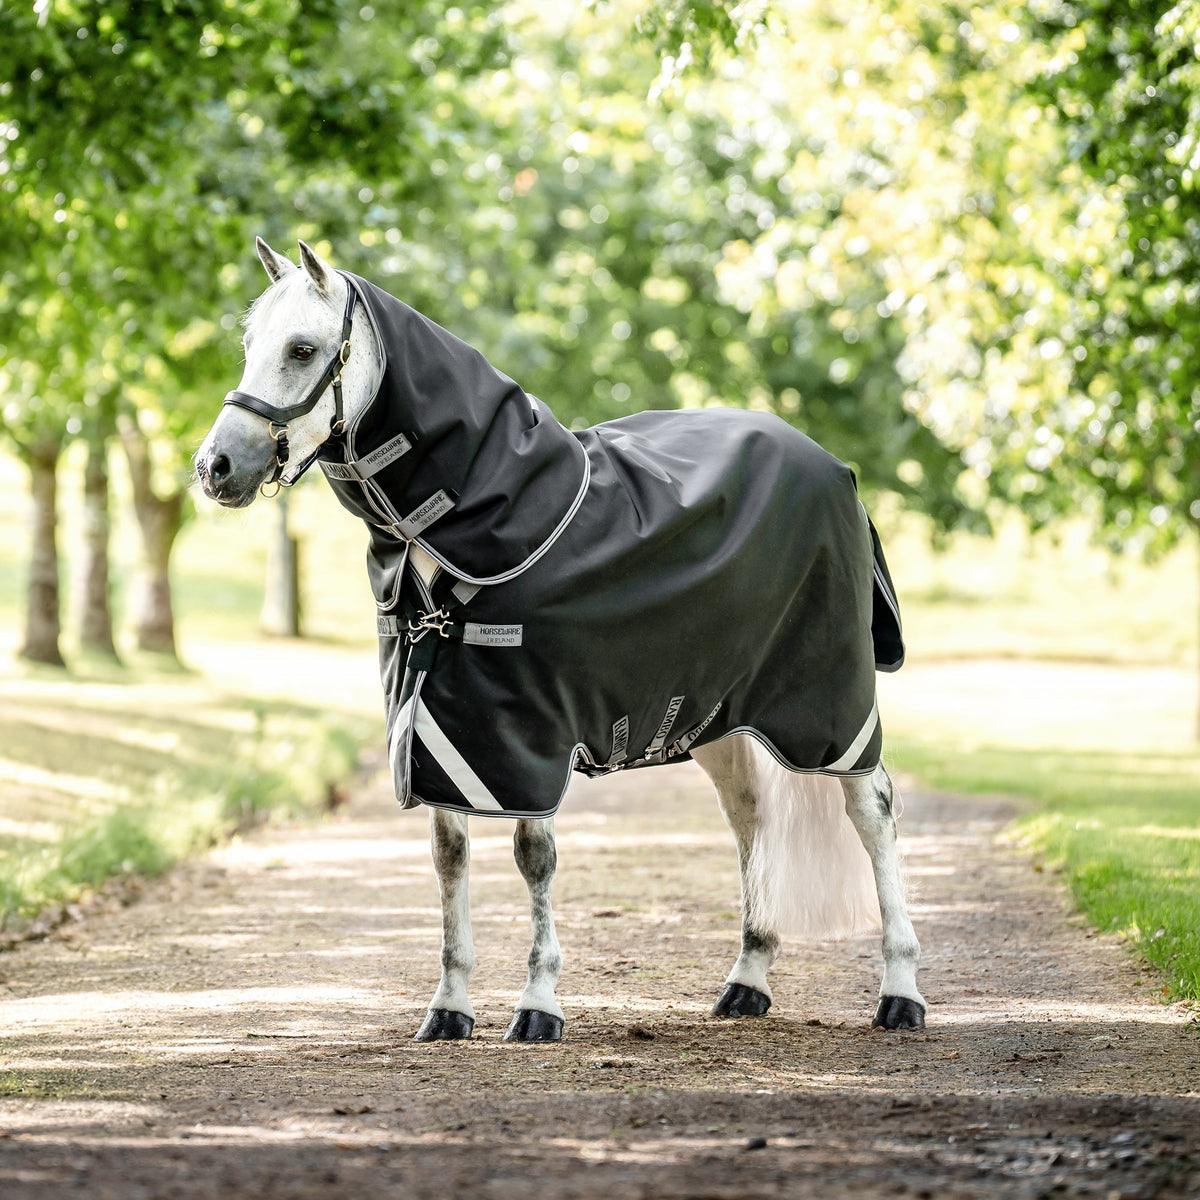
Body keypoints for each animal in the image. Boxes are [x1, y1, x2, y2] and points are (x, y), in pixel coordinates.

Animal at [195, 238, 926, 1043]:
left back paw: (900, 991)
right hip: (718, 713)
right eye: (247, 345)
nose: (215, 467)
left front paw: (538, 1003)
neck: (485, 521)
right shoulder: (446, 728)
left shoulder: (528, 733)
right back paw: (747, 980)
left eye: (302, 349)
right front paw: (448, 1007)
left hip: (829, 707)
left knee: (874, 814)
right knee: (748, 817)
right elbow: (450, 857)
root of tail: (835, 468)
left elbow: (532, 856)